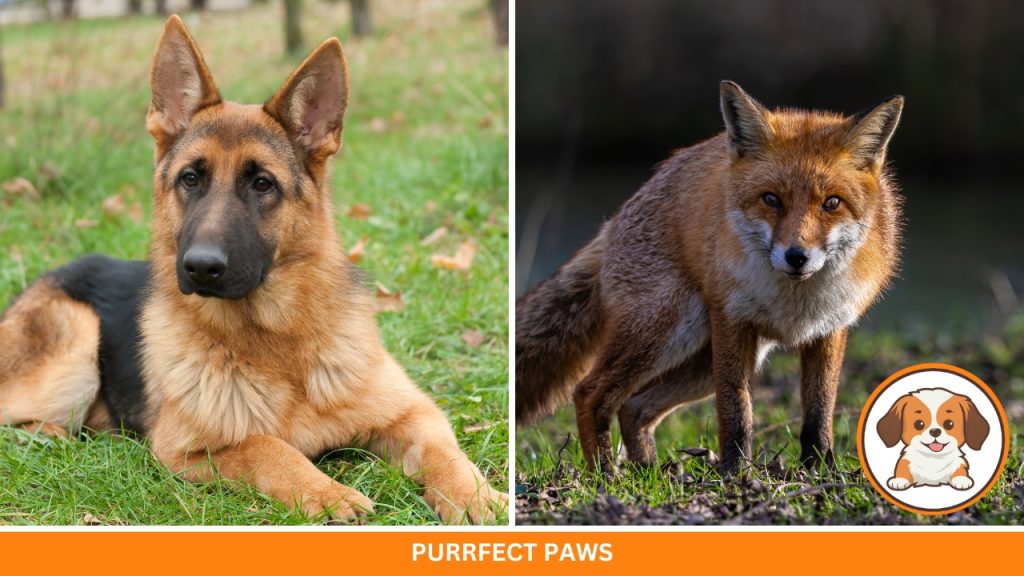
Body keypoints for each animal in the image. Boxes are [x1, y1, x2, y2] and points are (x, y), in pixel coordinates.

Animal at [516, 81, 904, 473]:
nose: (797, 256)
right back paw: (605, 474)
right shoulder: (732, 319)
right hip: (667, 332)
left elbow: (819, 411)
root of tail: (613, 222)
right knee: (589, 392)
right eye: (771, 199)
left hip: (701, 361)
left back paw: (647, 471)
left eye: (832, 203)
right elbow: (735, 409)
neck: (795, 303)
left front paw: (820, 467)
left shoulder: (829, 329)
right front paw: (735, 471)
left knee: (634, 406)